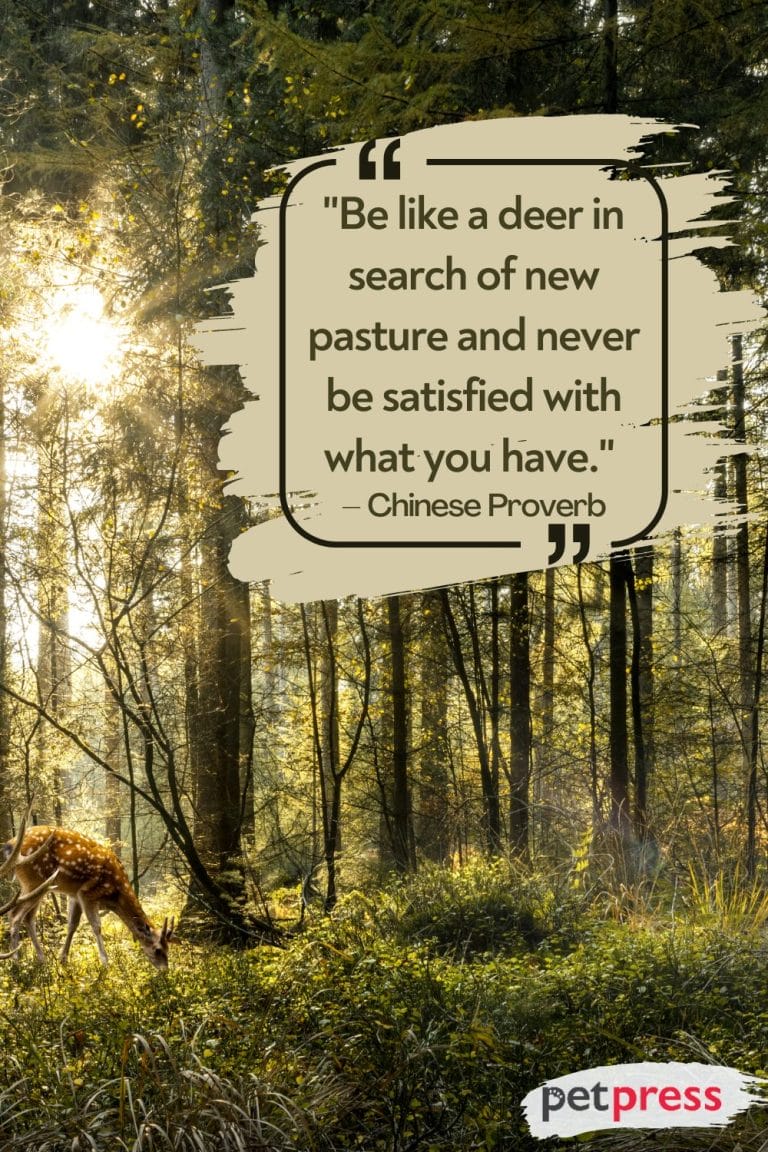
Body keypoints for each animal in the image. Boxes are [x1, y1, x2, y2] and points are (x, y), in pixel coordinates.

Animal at [0, 805, 174, 969]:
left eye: (168, 948)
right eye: (158, 950)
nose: (165, 970)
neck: (115, 895)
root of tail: (10, 846)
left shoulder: (75, 894)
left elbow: (72, 925)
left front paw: (63, 959)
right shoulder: (88, 893)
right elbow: (96, 926)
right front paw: (106, 963)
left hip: (36, 885)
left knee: (28, 917)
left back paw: (42, 959)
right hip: (34, 881)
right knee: (15, 915)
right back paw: (15, 961)